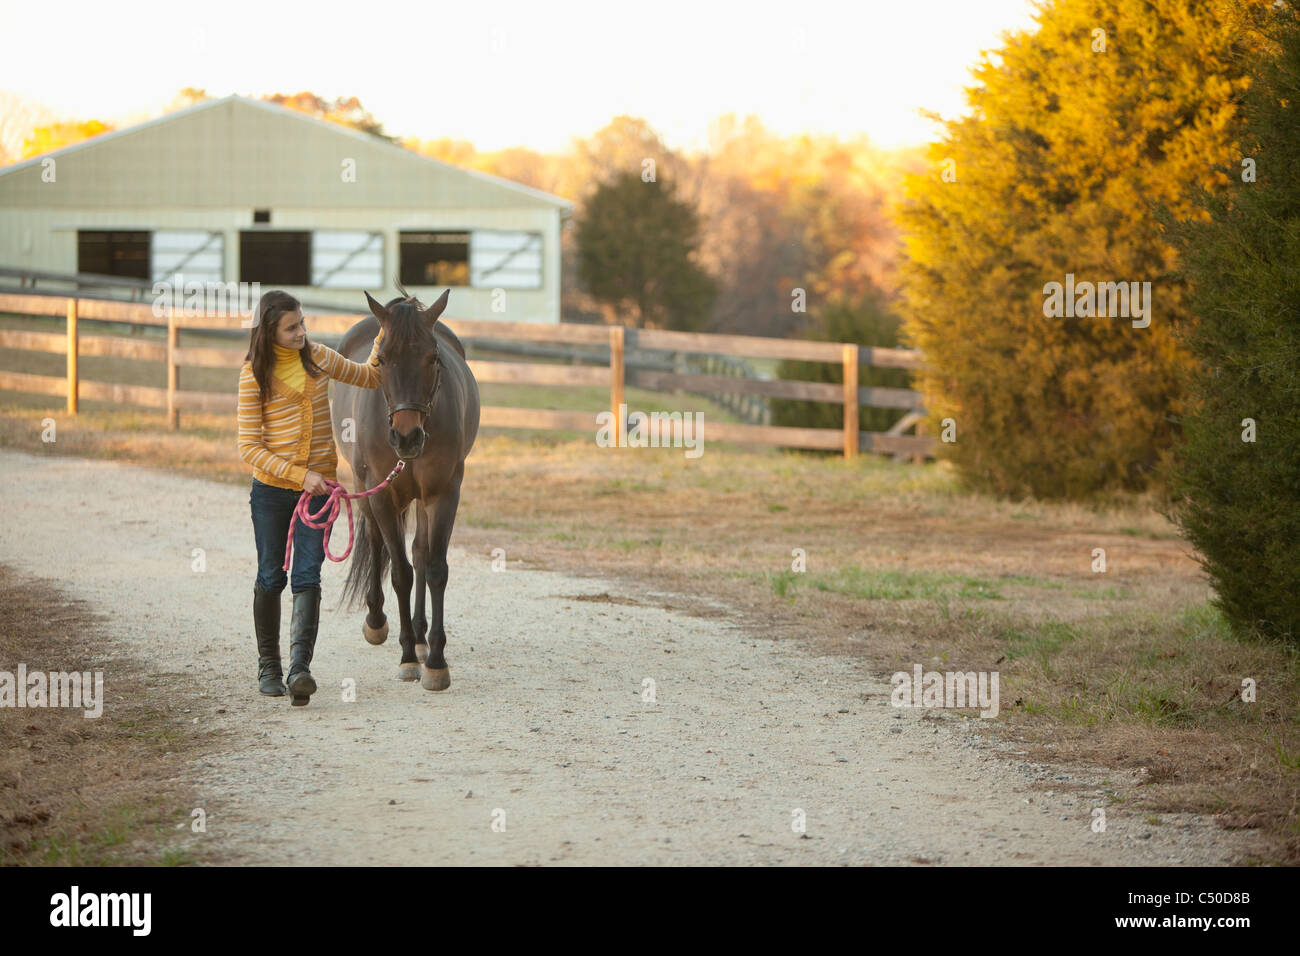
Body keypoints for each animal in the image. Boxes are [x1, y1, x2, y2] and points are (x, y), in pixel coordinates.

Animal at [332, 286, 480, 691]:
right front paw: (408, 657)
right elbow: (400, 573)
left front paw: (436, 661)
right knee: (376, 543)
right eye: (382, 359)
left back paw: (419, 632)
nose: (407, 437)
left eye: (433, 357)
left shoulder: (443, 494)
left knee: (419, 551)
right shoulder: (382, 494)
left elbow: (434, 568)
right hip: (367, 490)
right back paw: (378, 622)